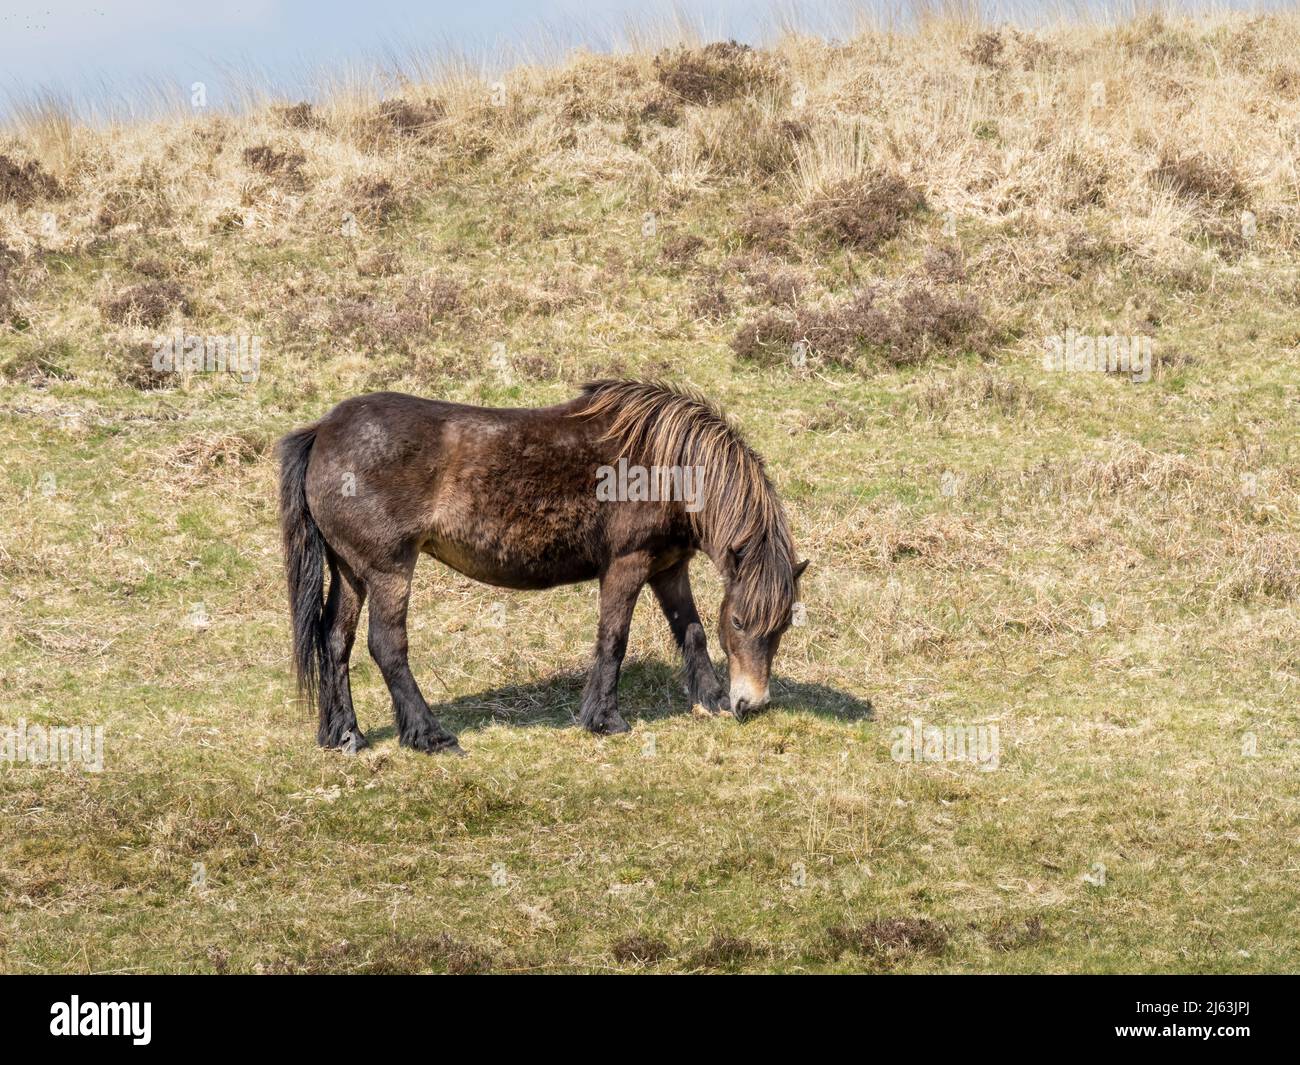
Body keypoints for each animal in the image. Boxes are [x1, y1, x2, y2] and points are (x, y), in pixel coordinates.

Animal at [276, 380, 808, 754]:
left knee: (334, 641)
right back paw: (431, 735)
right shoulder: (627, 565)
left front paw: (711, 699)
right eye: (738, 620)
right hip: (389, 571)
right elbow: (613, 639)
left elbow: (692, 631)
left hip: (351, 571)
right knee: (387, 646)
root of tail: (322, 431)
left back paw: (345, 735)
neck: (663, 465)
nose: (751, 703)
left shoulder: (668, 568)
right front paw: (605, 719)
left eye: (782, 627)